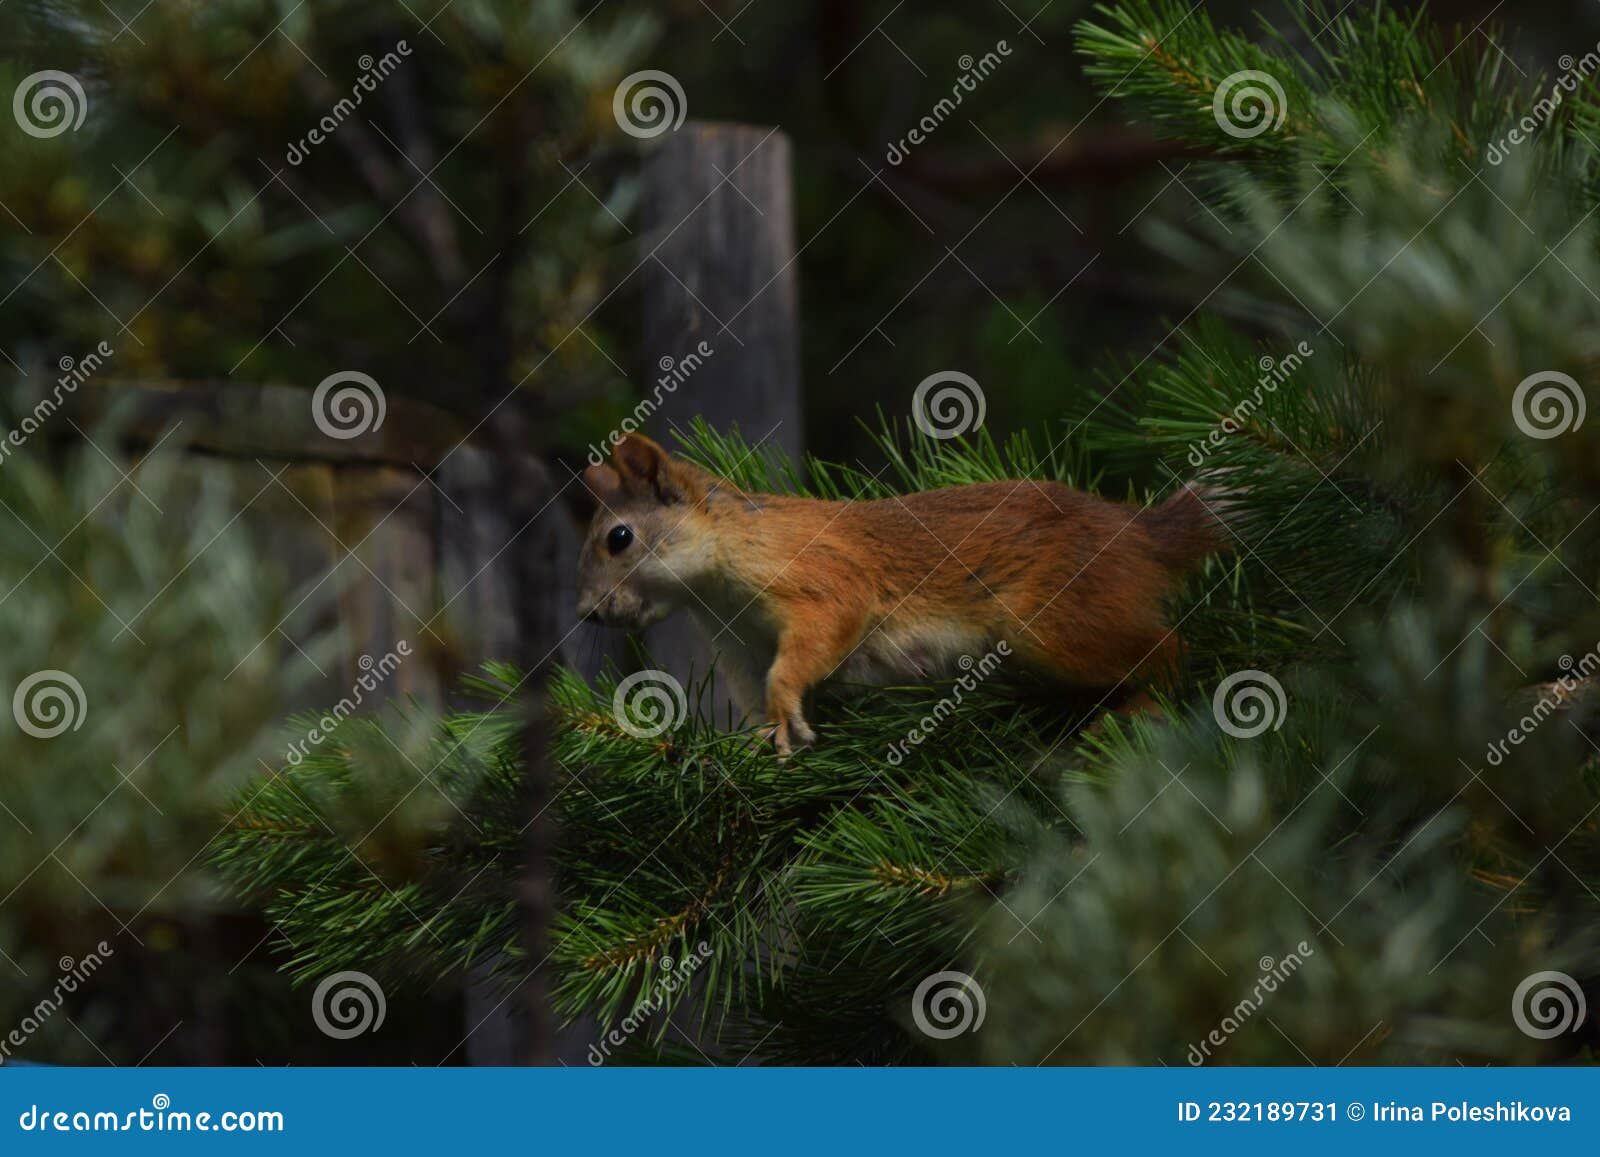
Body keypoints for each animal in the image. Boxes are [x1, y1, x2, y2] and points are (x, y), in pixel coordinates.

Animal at [576, 433, 1230, 754]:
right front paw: (761, 736)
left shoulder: (816, 572)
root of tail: (1138, 534)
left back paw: (1144, 707)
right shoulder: (737, 643)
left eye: (619, 537)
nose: (587, 613)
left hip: (1054, 619)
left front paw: (786, 709)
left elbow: (823, 628)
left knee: (1169, 649)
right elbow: (755, 692)